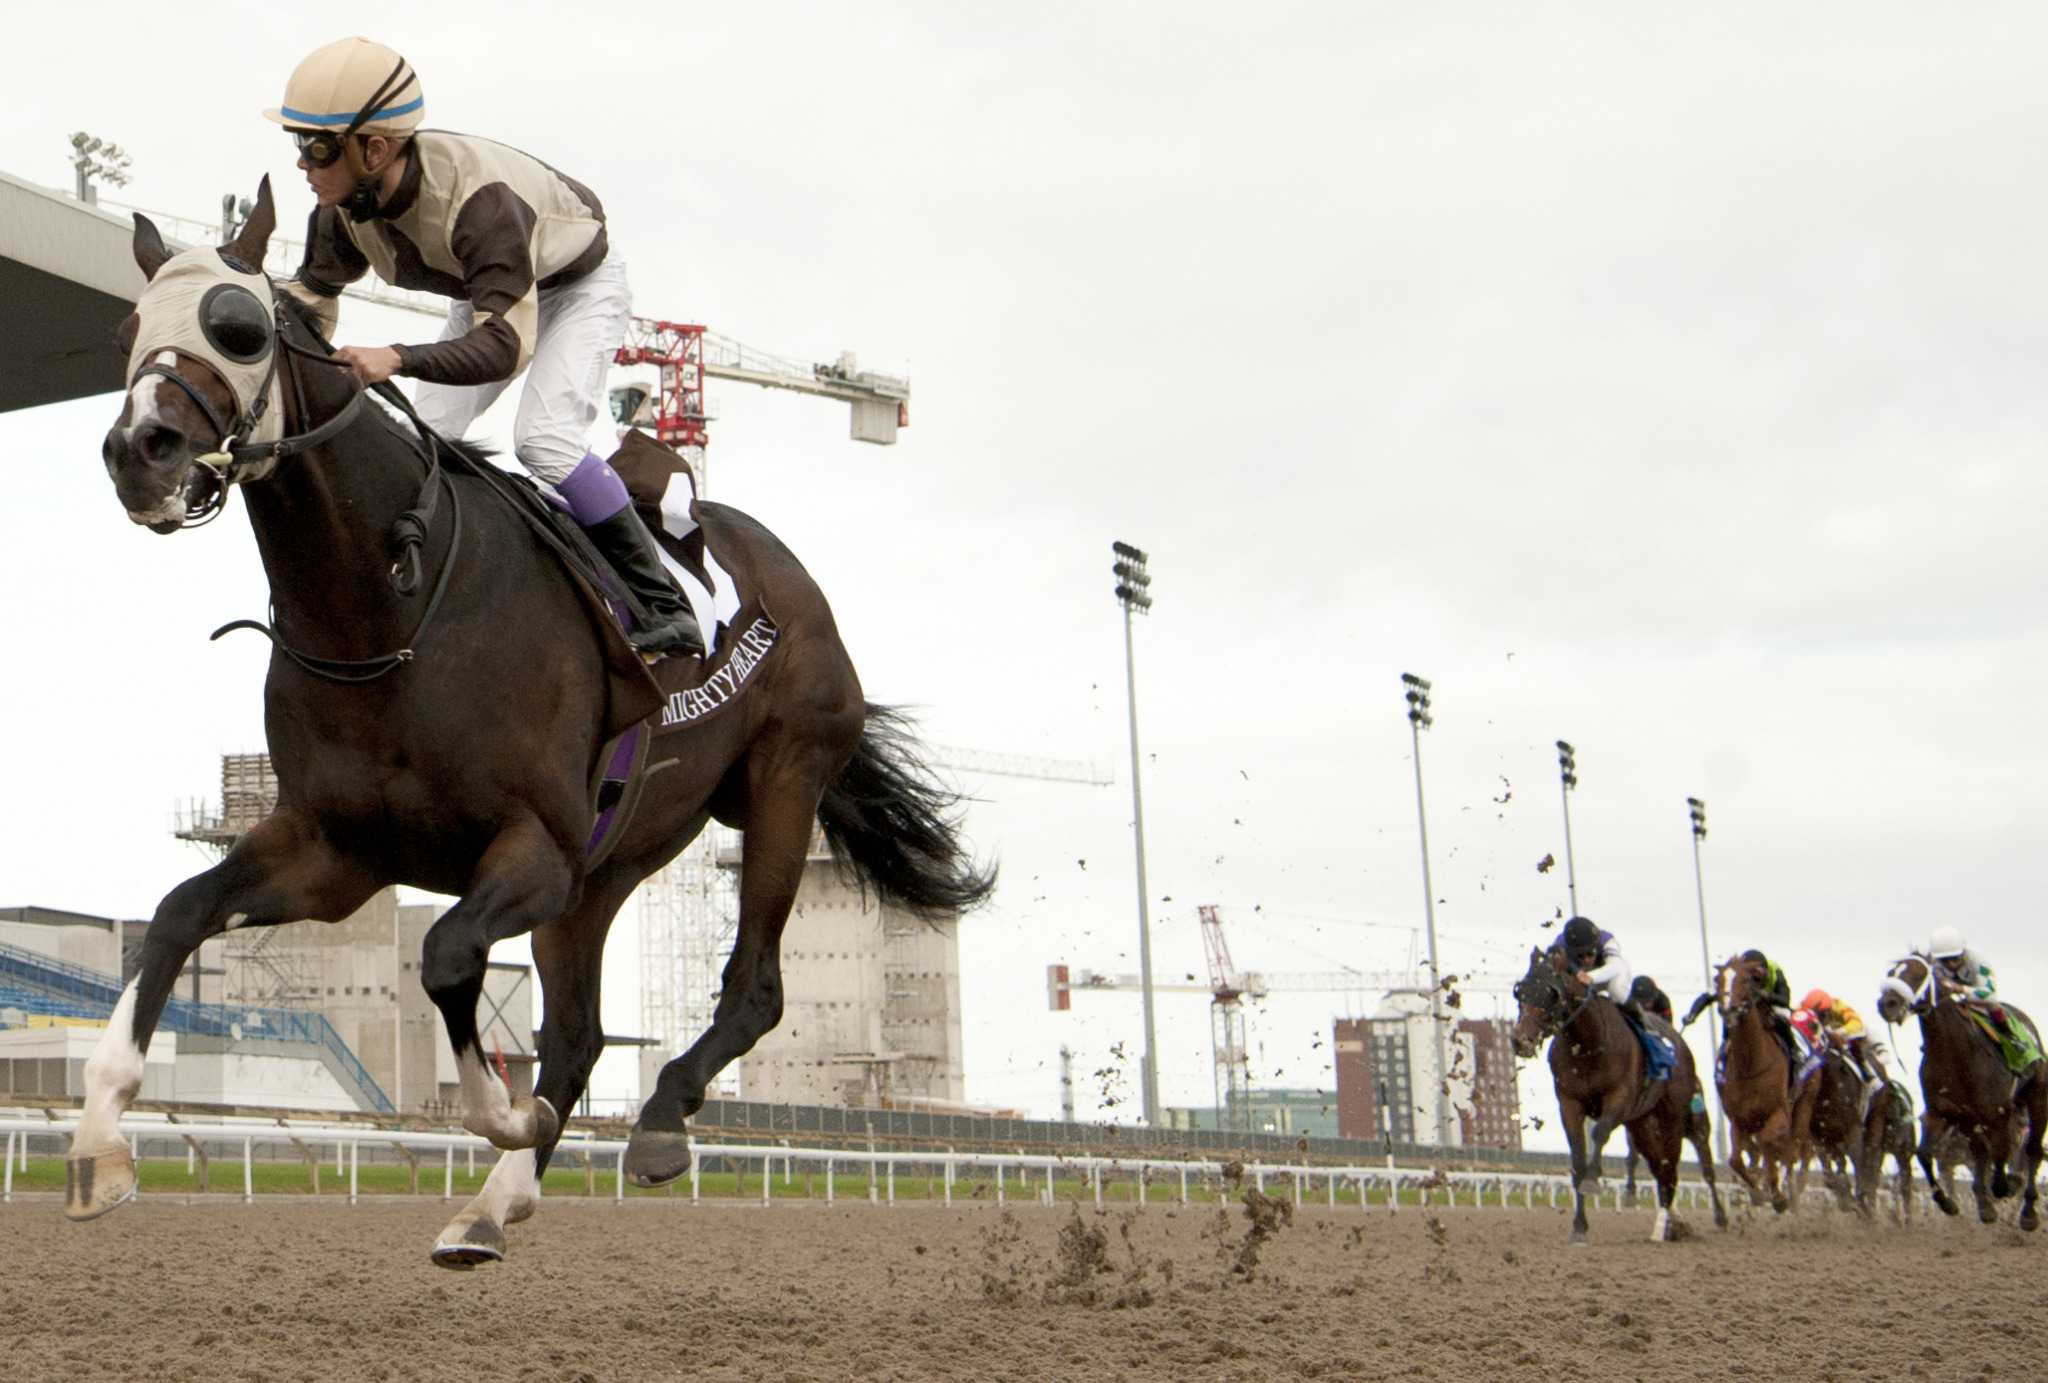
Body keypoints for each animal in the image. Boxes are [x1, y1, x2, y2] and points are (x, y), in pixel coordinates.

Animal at [81, 181, 992, 1267]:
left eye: (238, 327)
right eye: (128, 330)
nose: (138, 452)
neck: (388, 609)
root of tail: (781, 567)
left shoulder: (532, 845)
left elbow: (443, 955)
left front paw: (505, 1116)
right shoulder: (335, 851)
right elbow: (179, 912)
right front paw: (99, 1143)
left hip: (778, 783)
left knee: (756, 988)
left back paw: (655, 1122)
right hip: (604, 869)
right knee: (582, 1031)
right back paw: (492, 1203)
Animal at [1511, 946, 1724, 1244]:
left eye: (1551, 992)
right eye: (1520, 991)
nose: (1521, 1040)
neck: (1589, 1045)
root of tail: (1679, 1043)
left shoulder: (1619, 1098)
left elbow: (1600, 1133)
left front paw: (1593, 1180)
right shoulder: (1569, 1103)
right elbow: (1578, 1161)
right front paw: (1579, 1227)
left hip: (1679, 1118)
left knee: (1679, 1168)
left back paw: (1689, 1222)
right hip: (1641, 1124)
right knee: (1660, 1168)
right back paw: (1669, 1224)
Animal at [1711, 955, 1817, 1214]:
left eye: (1746, 980)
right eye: (1718, 979)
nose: (1729, 1009)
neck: (1751, 1064)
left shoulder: (1779, 1112)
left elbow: (1768, 1143)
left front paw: (1776, 1195)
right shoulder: (1738, 1119)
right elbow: (1736, 1159)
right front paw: (1756, 1191)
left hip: (1804, 1104)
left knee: (1793, 1150)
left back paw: (1788, 1194)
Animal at [1876, 954, 2044, 1230]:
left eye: (1917, 974)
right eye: (1891, 973)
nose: (1886, 1004)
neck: (1955, 1053)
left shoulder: (1998, 1116)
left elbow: (2001, 1163)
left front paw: (2008, 1187)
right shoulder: (1942, 1113)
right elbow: (1925, 1154)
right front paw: (1949, 1203)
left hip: (2036, 1098)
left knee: (2032, 1152)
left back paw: (2027, 1213)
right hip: (1970, 1122)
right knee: (1981, 1155)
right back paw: (1986, 1206)